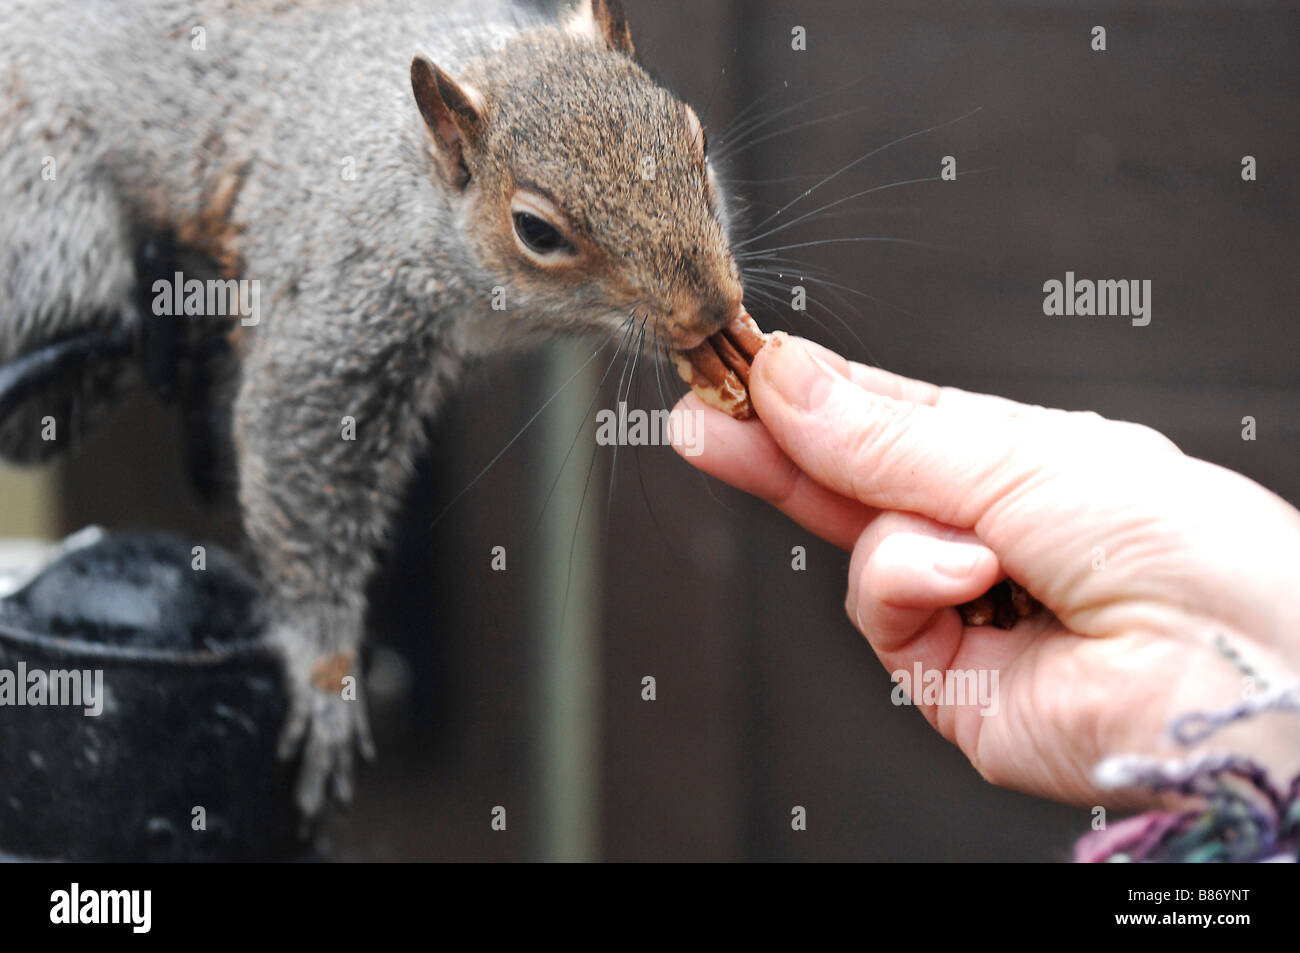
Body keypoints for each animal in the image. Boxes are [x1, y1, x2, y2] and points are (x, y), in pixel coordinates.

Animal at [0, 0, 748, 816]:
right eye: (537, 230)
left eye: (695, 135)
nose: (711, 309)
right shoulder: (347, 300)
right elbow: (299, 447)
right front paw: (327, 674)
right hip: (50, 230)